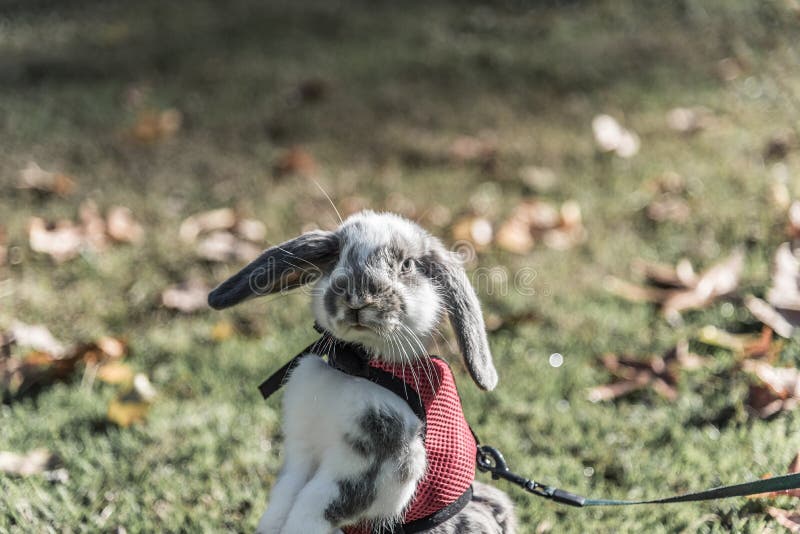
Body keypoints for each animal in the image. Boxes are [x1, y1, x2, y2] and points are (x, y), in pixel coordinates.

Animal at [208, 210, 517, 534]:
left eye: (407, 265)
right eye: (336, 257)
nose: (357, 298)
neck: (358, 365)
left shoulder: (371, 465)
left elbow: (315, 504)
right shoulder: (302, 452)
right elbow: (285, 497)